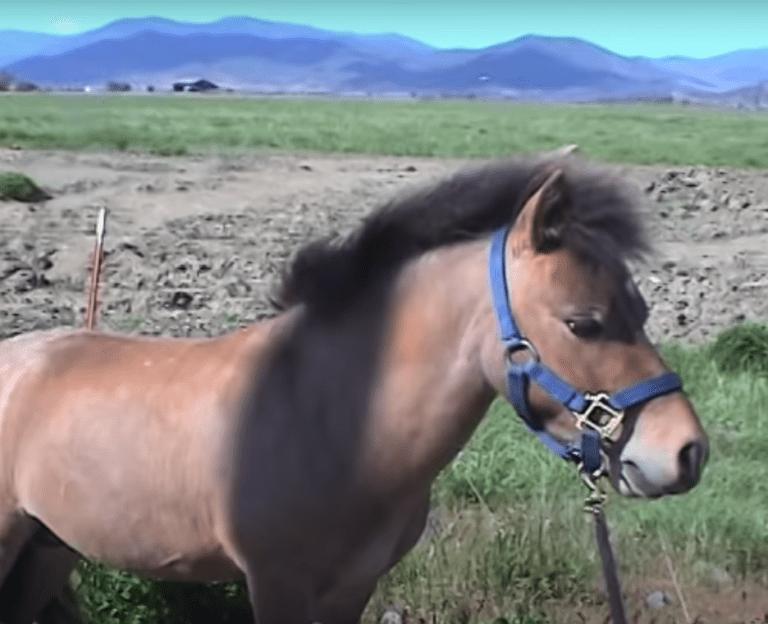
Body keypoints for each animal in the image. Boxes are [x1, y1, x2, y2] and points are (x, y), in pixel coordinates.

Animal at [0, 157, 708, 623]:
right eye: (584, 322)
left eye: (643, 308)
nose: (687, 452)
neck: (337, 421)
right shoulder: (277, 586)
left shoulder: (353, 588)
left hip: (48, 549)